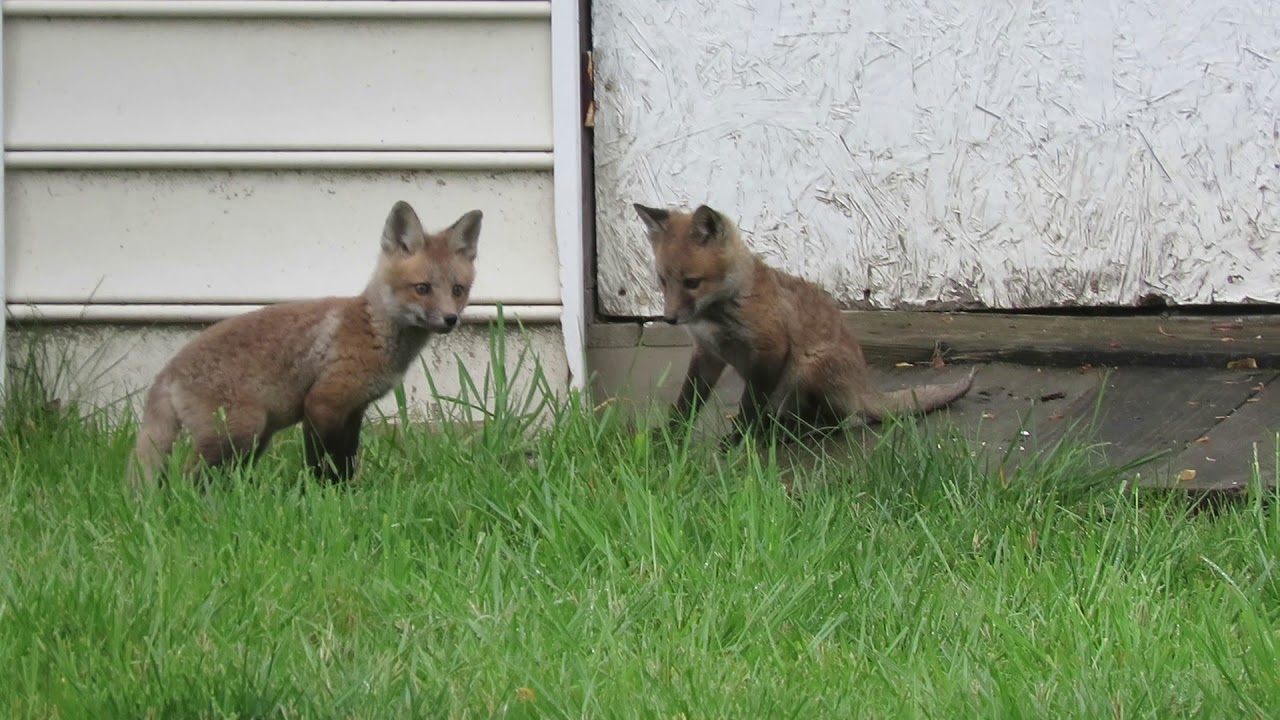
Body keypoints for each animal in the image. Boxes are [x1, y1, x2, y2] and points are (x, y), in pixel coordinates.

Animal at [127, 200, 482, 489]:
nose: (450, 319)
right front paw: (324, 495)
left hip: (253, 440)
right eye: (422, 288)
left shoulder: (354, 410)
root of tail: (168, 372)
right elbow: (321, 464)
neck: (373, 330)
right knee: (187, 479)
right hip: (241, 432)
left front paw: (348, 494)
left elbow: (346, 460)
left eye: (458, 289)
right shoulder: (323, 404)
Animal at [633, 202, 975, 447]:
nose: (670, 318)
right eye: (662, 281)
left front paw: (738, 440)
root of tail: (863, 389)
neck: (722, 311)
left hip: (808, 370)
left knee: (836, 423)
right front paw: (671, 435)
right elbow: (686, 403)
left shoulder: (770, 351)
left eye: (692, 282)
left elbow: (749, 406)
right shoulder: (707, 353)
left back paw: (793, 434)